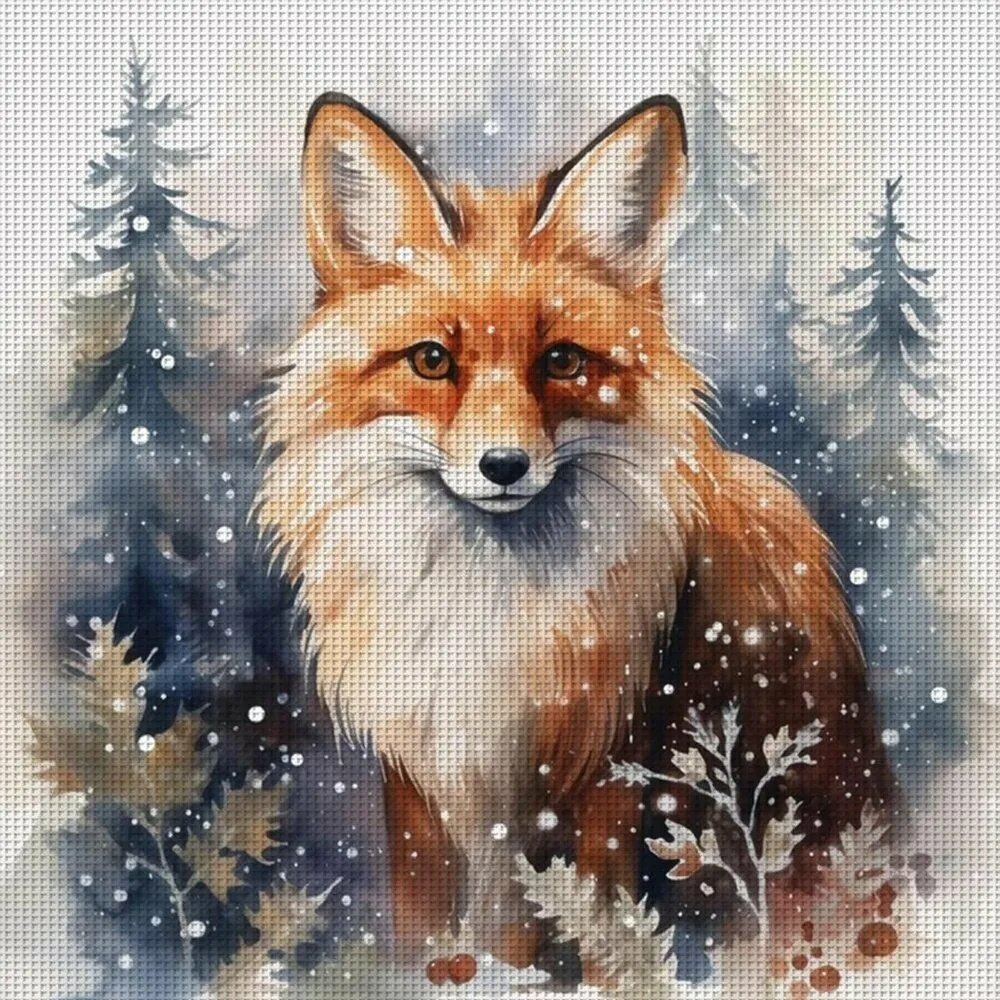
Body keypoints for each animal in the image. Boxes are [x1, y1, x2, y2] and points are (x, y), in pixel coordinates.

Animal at [256, 93, 892, 981]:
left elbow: (602, 936)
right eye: (431, 360)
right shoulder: (422, 778)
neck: (486, 613)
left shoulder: (608, 768)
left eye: (561, 360)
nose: (503, 465)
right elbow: (427, 929)